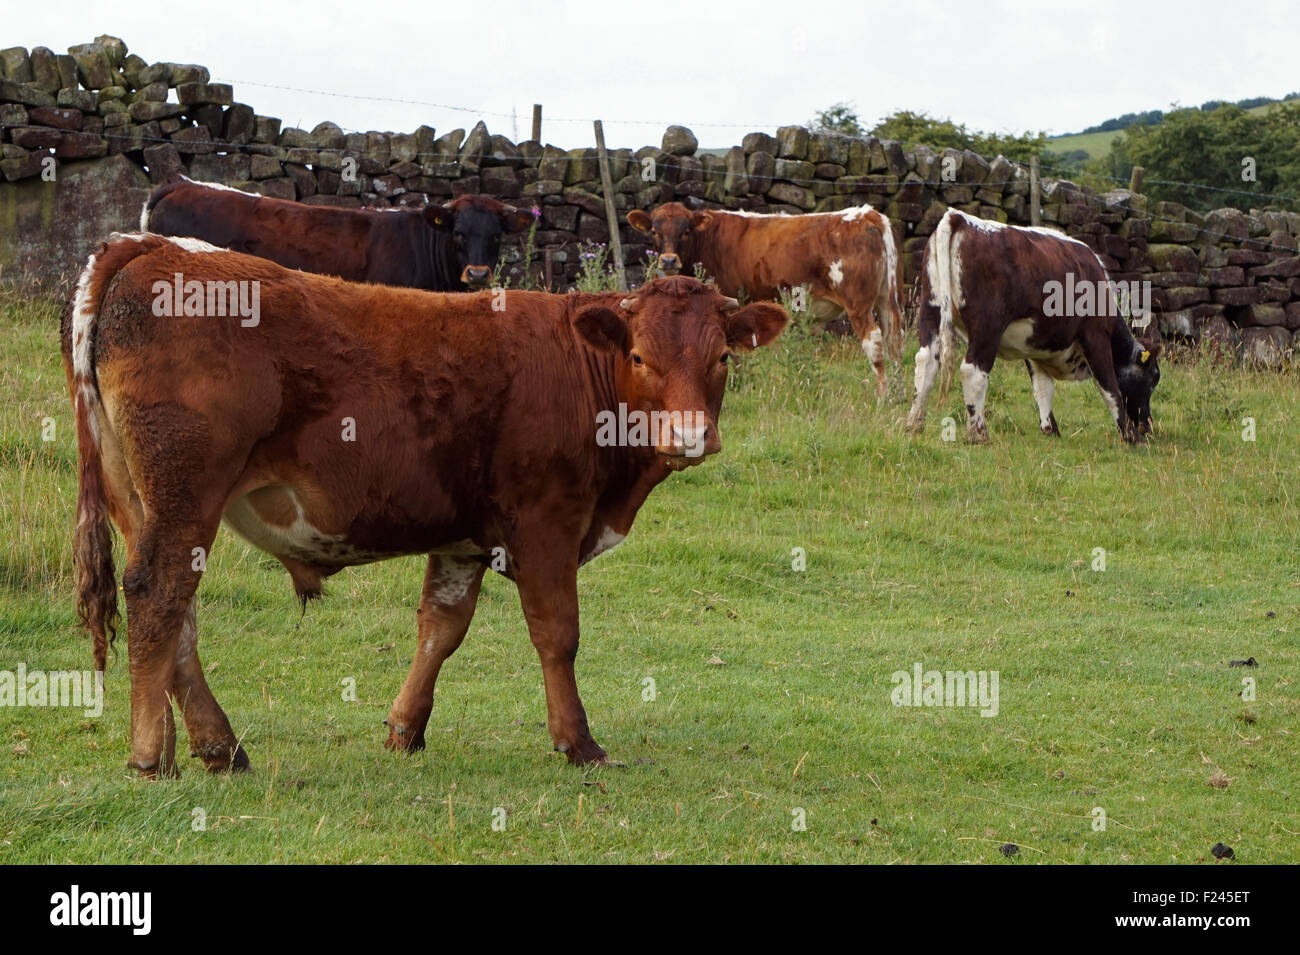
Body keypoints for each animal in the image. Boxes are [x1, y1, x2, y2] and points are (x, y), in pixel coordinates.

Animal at [62, 232, 788, 778]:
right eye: (639, 355)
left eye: (723, 357)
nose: (690, 435)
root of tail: (156, 246)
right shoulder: (547, 519)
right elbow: (557, 632)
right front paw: (577, 742)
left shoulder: (463, 535)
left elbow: (441, 628)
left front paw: (404, 729)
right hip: (186, 493)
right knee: (158, 595)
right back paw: (152, 756)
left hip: (143, 500)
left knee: (174, 613)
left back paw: (217, 747)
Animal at [627, 202, 904, 397]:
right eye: (654, 231)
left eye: (686, 230)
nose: (668, 260)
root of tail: (866, 214)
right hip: (887, 299)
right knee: (895, 341)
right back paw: (899, 392)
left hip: (859, 305)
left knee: (874, 343)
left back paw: (883, 396)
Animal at [906, 208, 1161, 443]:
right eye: (1153, 379)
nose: (1147, 425)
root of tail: (959, 218)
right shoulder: (1095, 335)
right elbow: (1110, 388)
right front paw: (1130, 436)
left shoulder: (1034, 346)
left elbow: (1042, 388)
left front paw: (1051, 430)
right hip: (987, 327)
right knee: (973, 372)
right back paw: (979, 435)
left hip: (930, 310)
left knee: (926, 363)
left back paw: (914, 425)